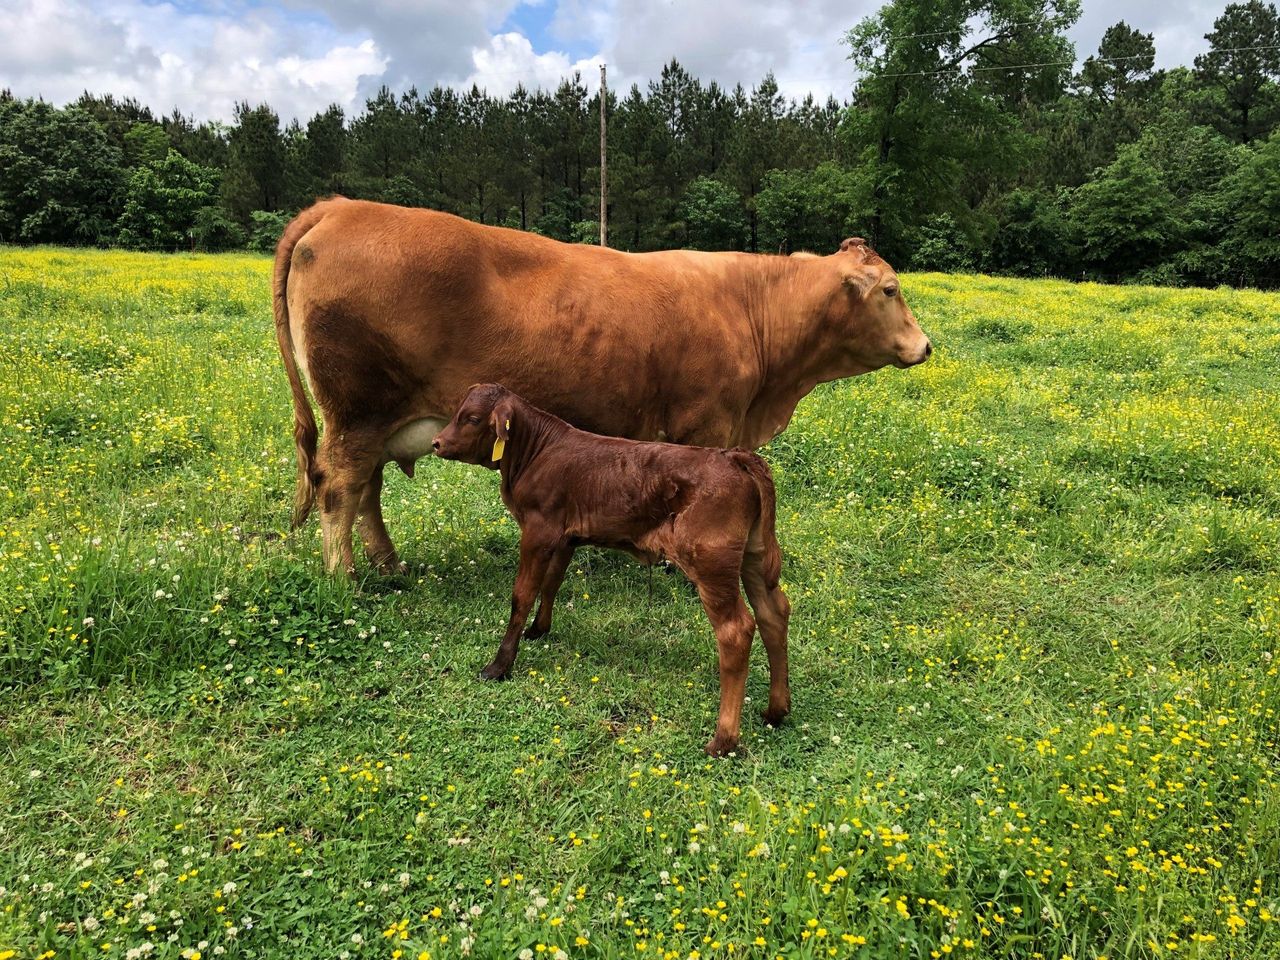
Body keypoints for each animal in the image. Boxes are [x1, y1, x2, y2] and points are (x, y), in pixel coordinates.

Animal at [272, 198, 931, 575]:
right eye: (891, 288)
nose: (926, 345)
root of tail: (343, 205)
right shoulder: (708, 424)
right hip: (357, 410)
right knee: (340, 486)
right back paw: (345, 578)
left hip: (378, 417)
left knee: (368, 487)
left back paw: (386, 563)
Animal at [431, 383, 791, 757]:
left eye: (472, 418)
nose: (436, 442)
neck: (536, 453)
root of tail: (734, 456)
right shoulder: (565, 538)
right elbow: (551, 583)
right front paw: (539, 629)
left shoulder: (538, 532)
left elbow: (522, 595)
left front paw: (499, 666)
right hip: (754, 555)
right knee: (774, 613)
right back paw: (776, 710)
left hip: (711, 564)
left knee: (736, 630)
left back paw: (723, 740)